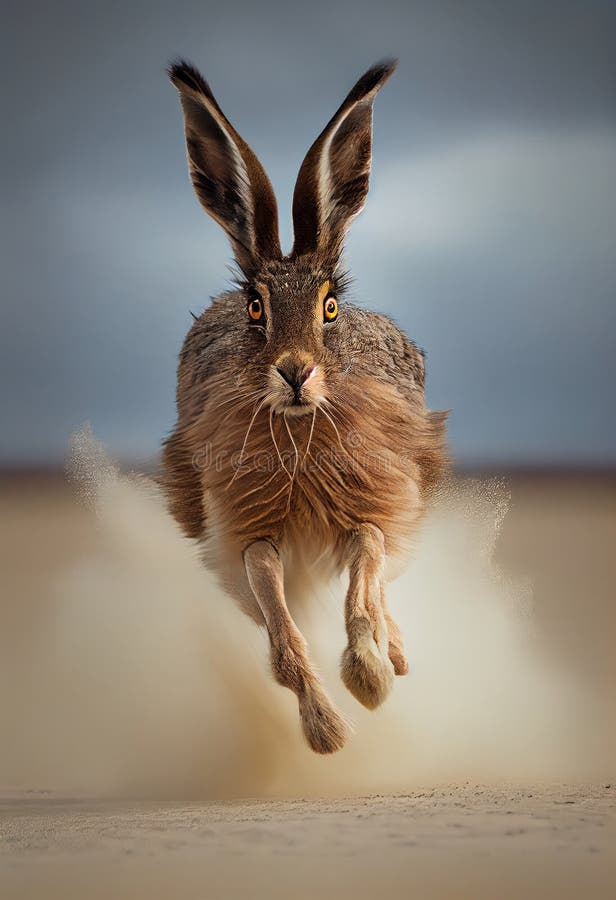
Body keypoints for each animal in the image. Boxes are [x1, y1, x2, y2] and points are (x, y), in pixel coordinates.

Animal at [163, 59, 448, 754]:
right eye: (255, 308)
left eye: (330, 307)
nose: (295, 372)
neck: (299, 431)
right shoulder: (245, 534)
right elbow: (281, 634)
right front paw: (328, 731)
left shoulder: (374, 505)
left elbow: (368, 564)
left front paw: (371, 674)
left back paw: (396, 652)